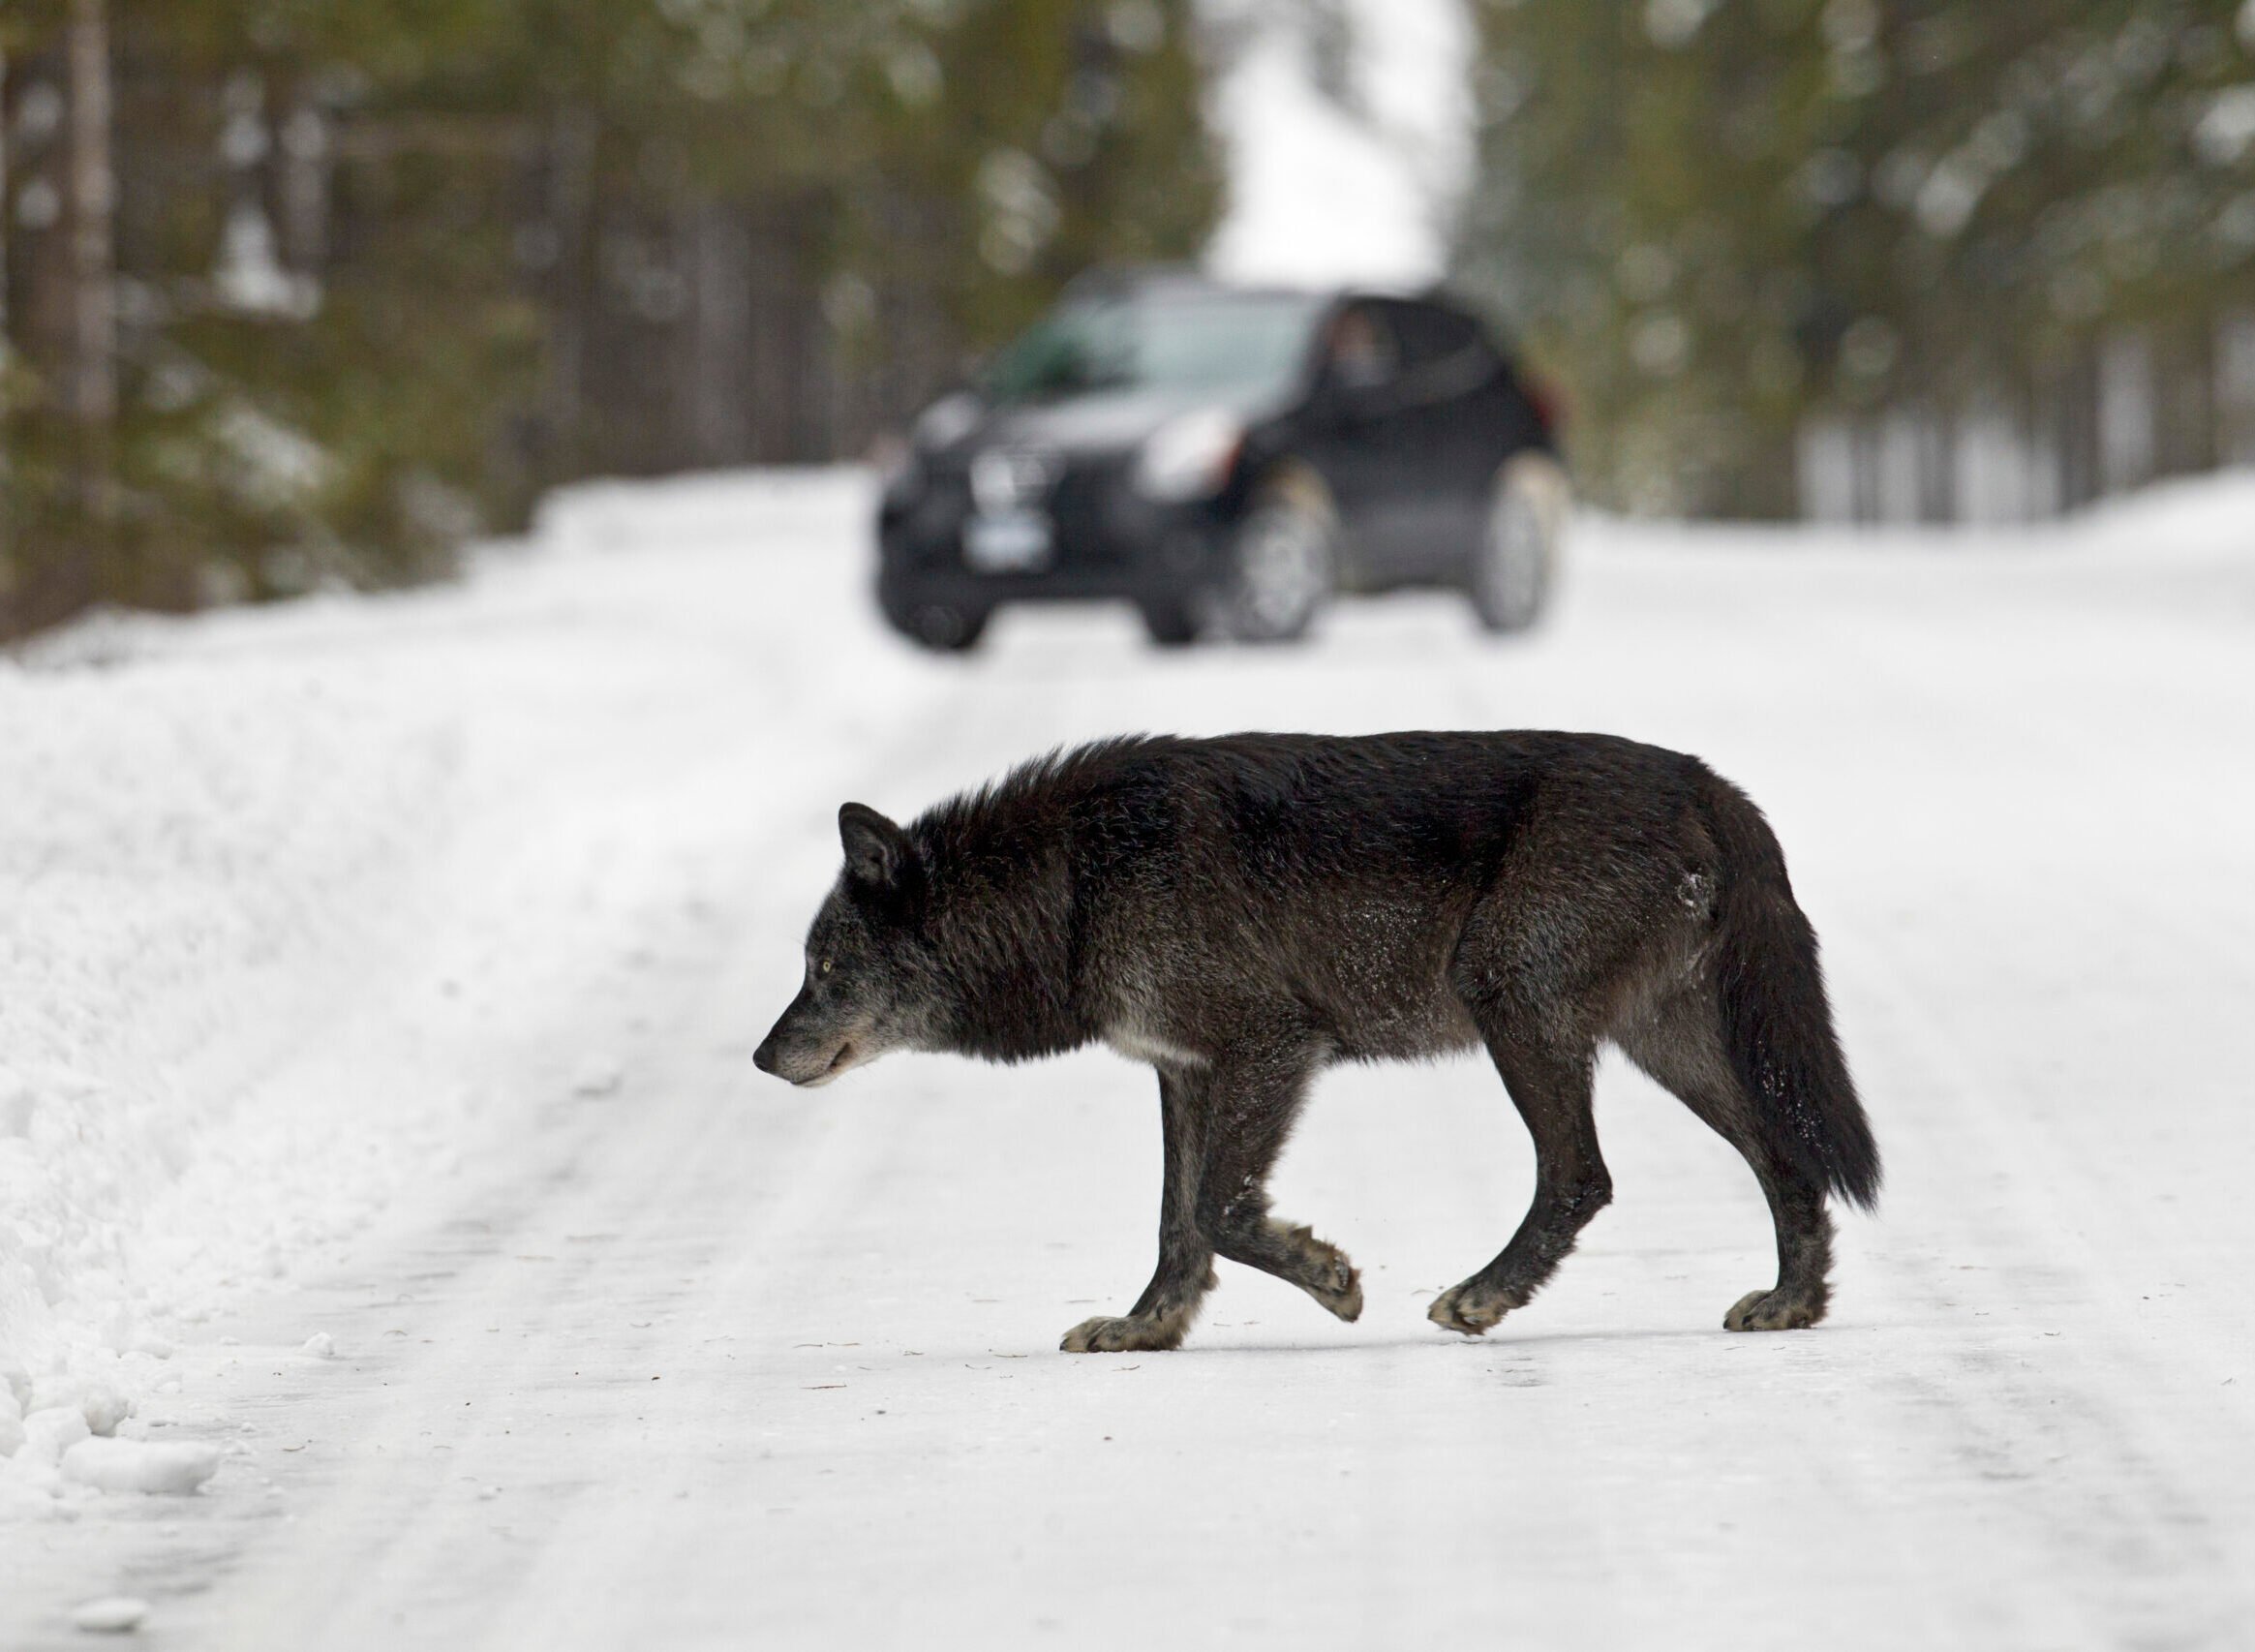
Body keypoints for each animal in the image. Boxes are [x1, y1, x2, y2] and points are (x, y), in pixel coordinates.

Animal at [753, 733, 1879, 1353]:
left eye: (822, 967)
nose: (762, 1058)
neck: (1077, 878)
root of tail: (1702, 780)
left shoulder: (1269, 1044)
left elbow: (1220, 1208)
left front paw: (1331, 1278)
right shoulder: (1184, 1070)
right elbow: (1177, 1225)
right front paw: (1145, 1328)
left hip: (1513, 1005)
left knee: (1579, 1174)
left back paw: (1483, 1296)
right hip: (1664, 1043)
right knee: (1781, 1157)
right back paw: (1791, 1303)